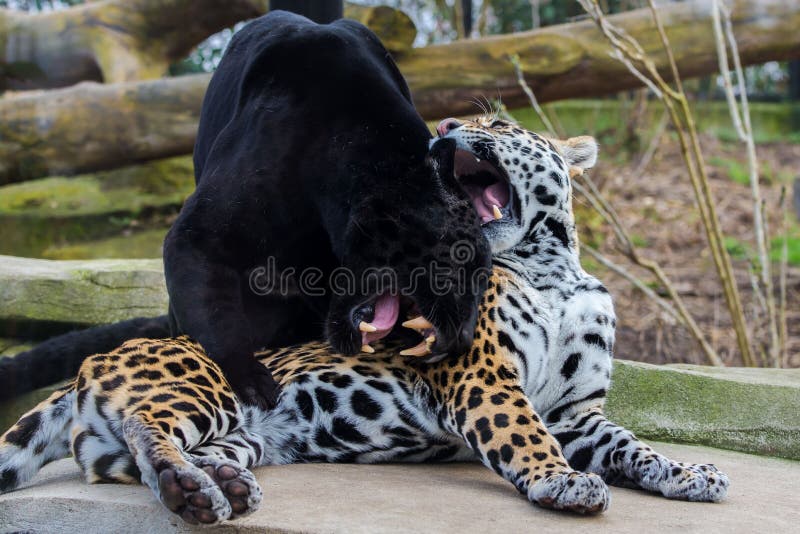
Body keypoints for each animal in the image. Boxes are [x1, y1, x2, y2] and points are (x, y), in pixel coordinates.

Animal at [0, 117, 728, 526]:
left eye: (497, 120)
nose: (441, 129)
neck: (549, 267)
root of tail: (92, 366)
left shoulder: (578, 413)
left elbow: (633, 447)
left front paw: (689, 474)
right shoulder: (485, 373)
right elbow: (523, 433)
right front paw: (563, 481)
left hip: (241, 434)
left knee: (123, 457)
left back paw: (221, 486)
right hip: (206, 385)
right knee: (144, 426)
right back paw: (190, 492)